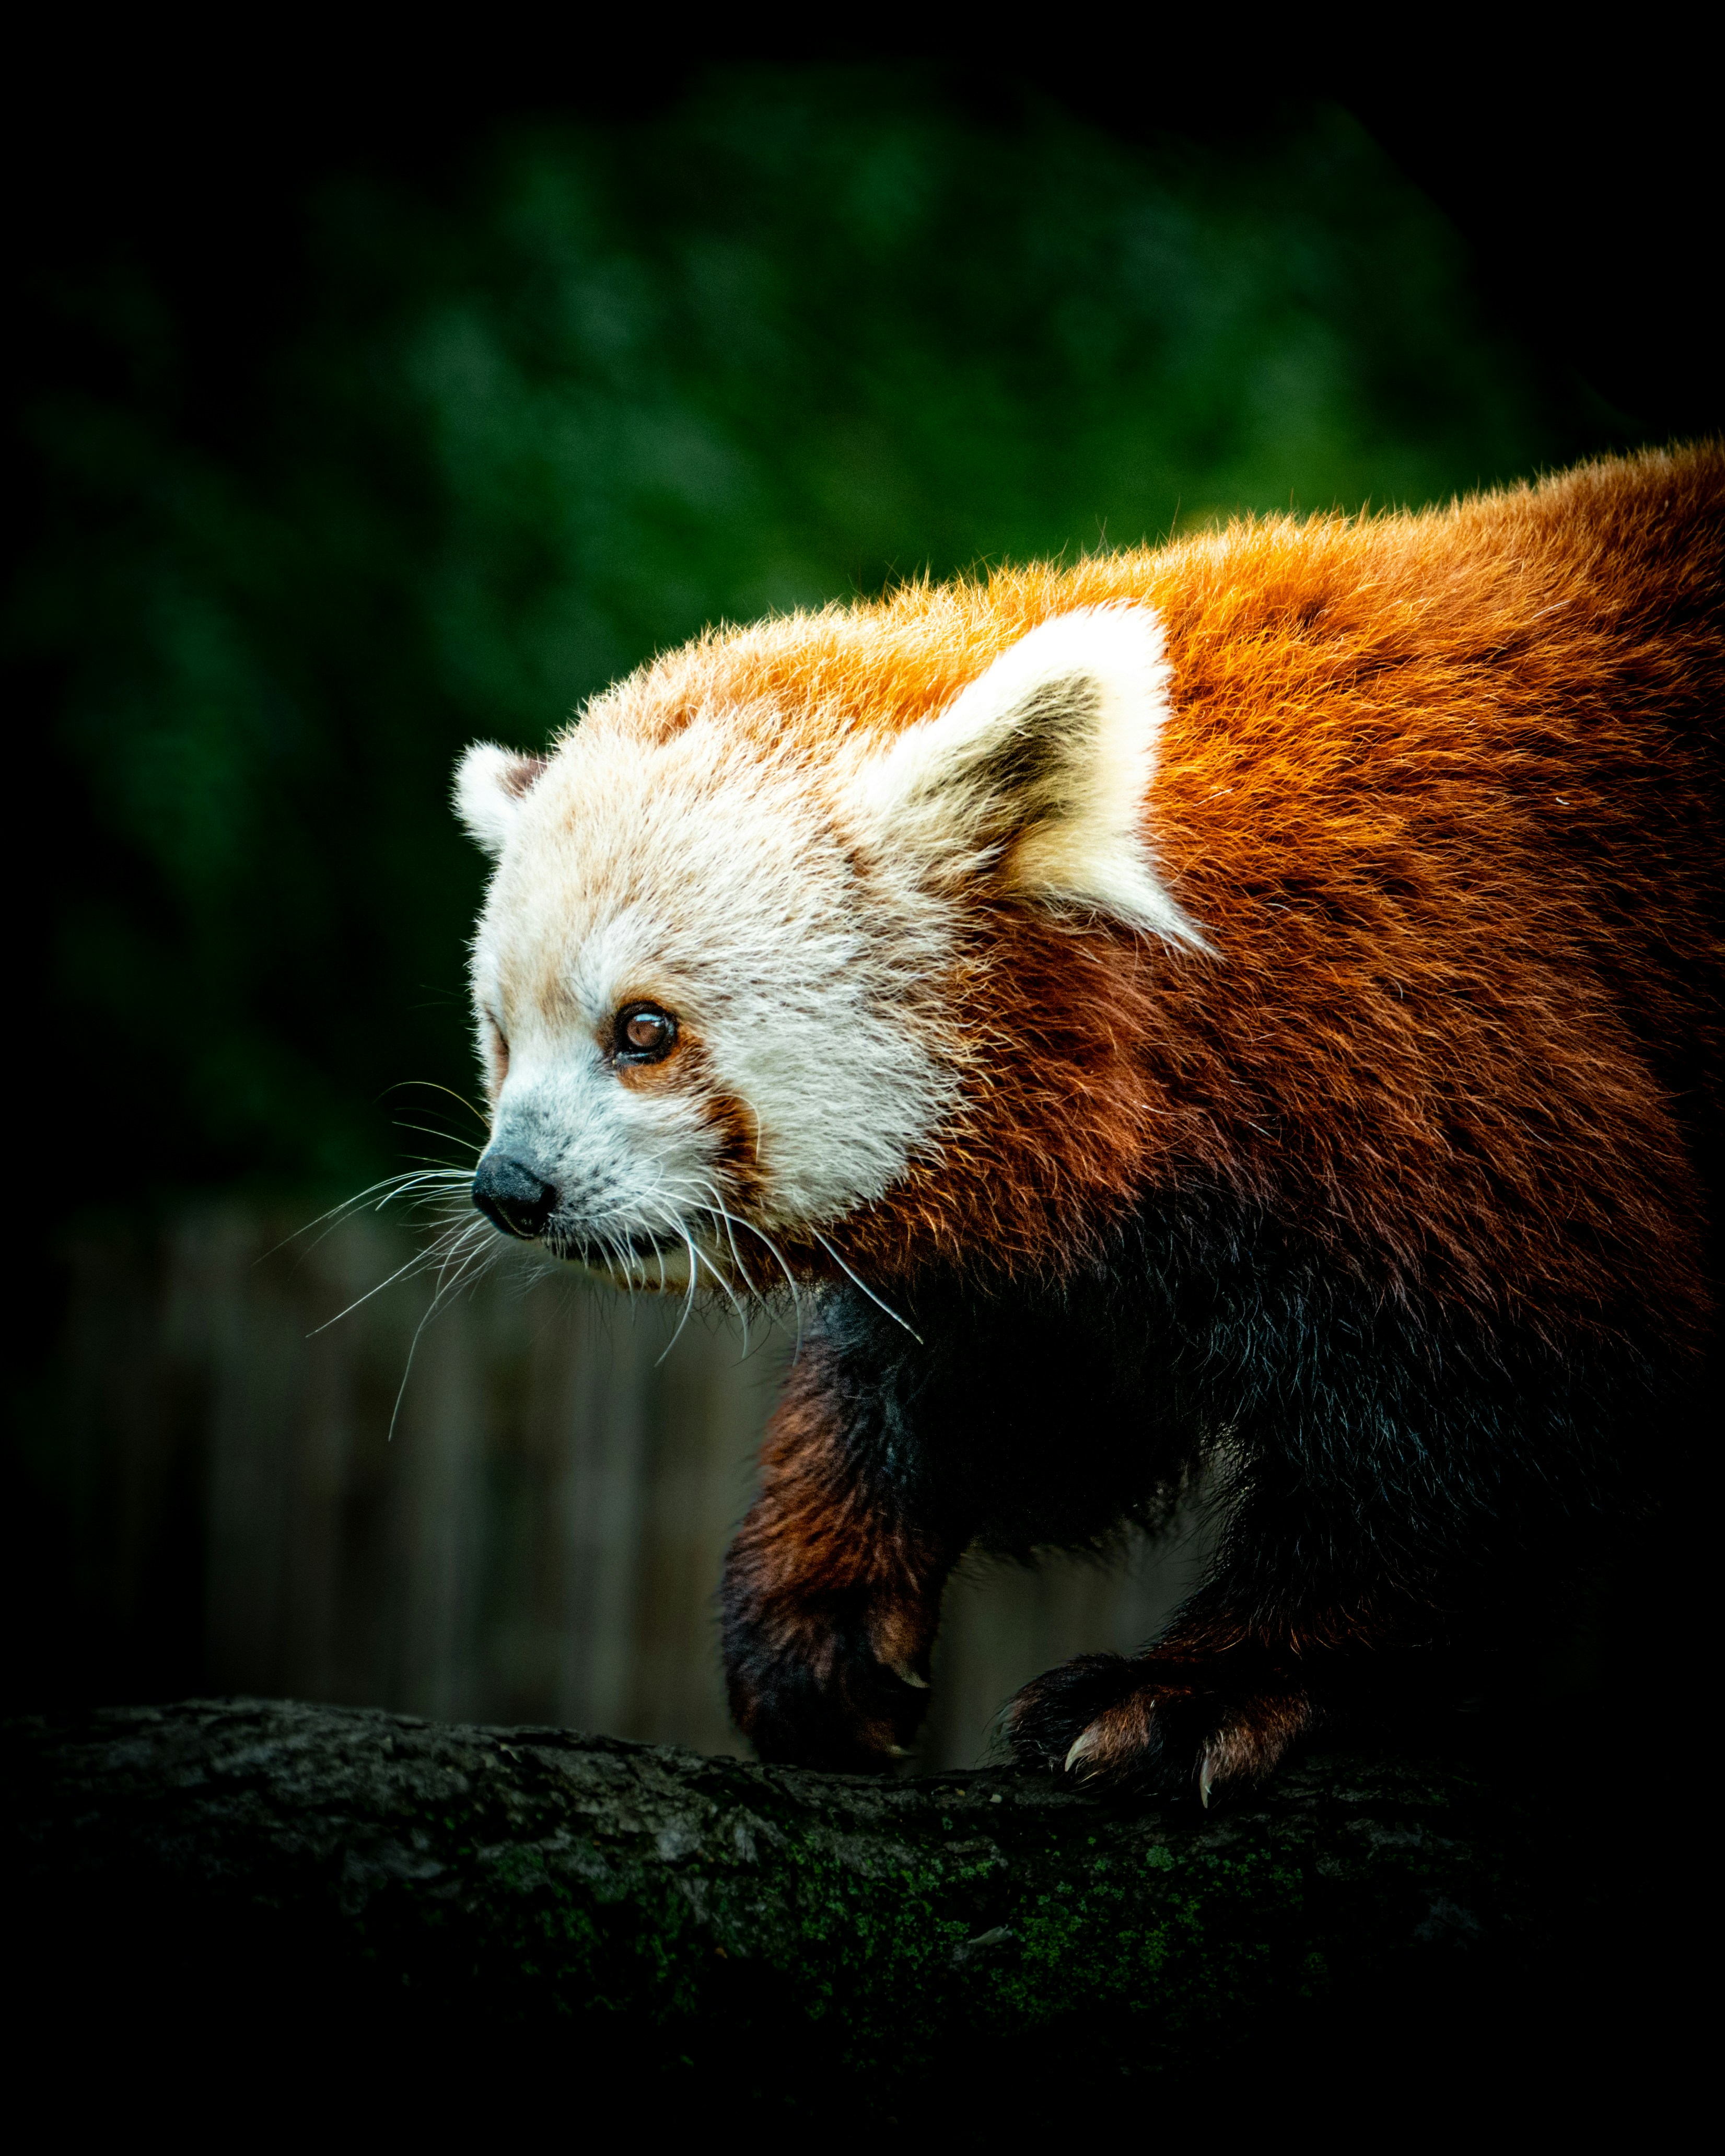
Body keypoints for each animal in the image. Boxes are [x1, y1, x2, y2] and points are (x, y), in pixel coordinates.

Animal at [455, 445, 1722, 1801]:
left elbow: (1499, 1406)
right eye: (499, 1034)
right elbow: (1016, 1387)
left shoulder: (1440, 1022)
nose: (511, 1186)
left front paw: (1197, 1689)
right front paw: (817, 1601)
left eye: (643, 1030)